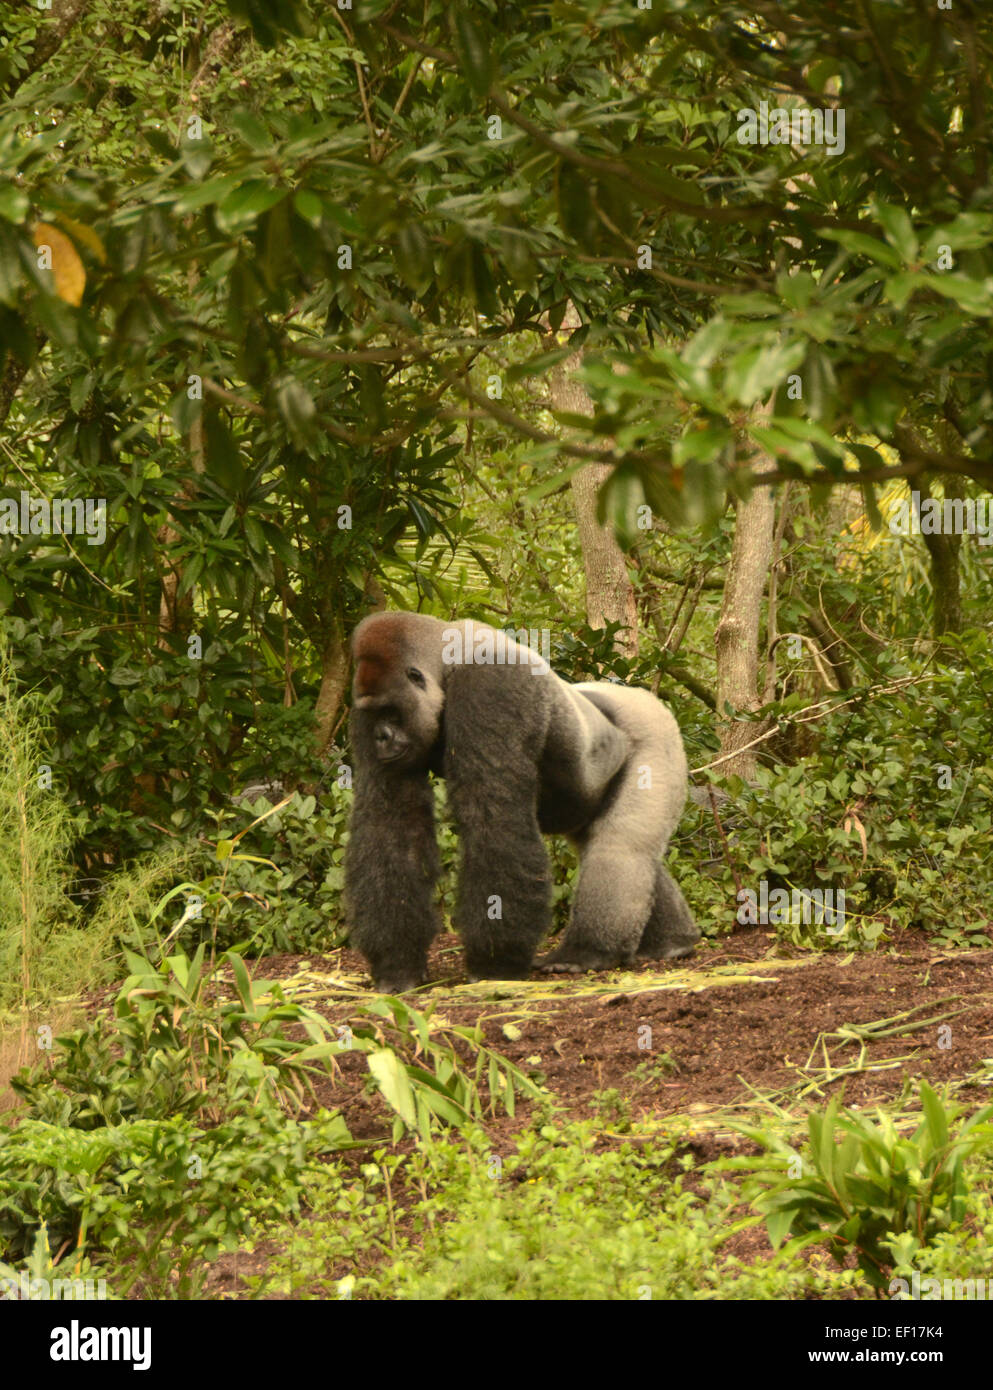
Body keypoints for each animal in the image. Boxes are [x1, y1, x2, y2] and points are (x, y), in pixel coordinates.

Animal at [344, 611, 700, 992]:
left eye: (391, 711)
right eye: (375, 714)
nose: (380, 738)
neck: (444, 662)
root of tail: (637, 696)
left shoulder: (491, 685)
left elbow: (493, 815)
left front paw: (495, 963)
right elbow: (392, 825)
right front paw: (397, 962)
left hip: (654, 730)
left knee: (620, 846)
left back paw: (587, 952)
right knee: (619, 848)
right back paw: (673, 940)